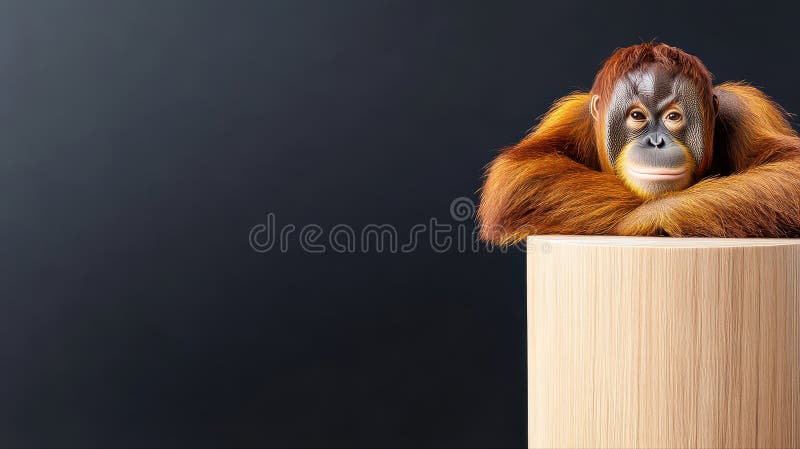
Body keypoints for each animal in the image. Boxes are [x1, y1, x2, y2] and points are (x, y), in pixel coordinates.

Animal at [478, 43, 800, 243]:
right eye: (637, 115)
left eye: (673, 116)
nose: (656, 142)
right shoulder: (573, 117)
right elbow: (519, 173)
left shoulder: (742, 110)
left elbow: (791, 172)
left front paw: (648, 216)